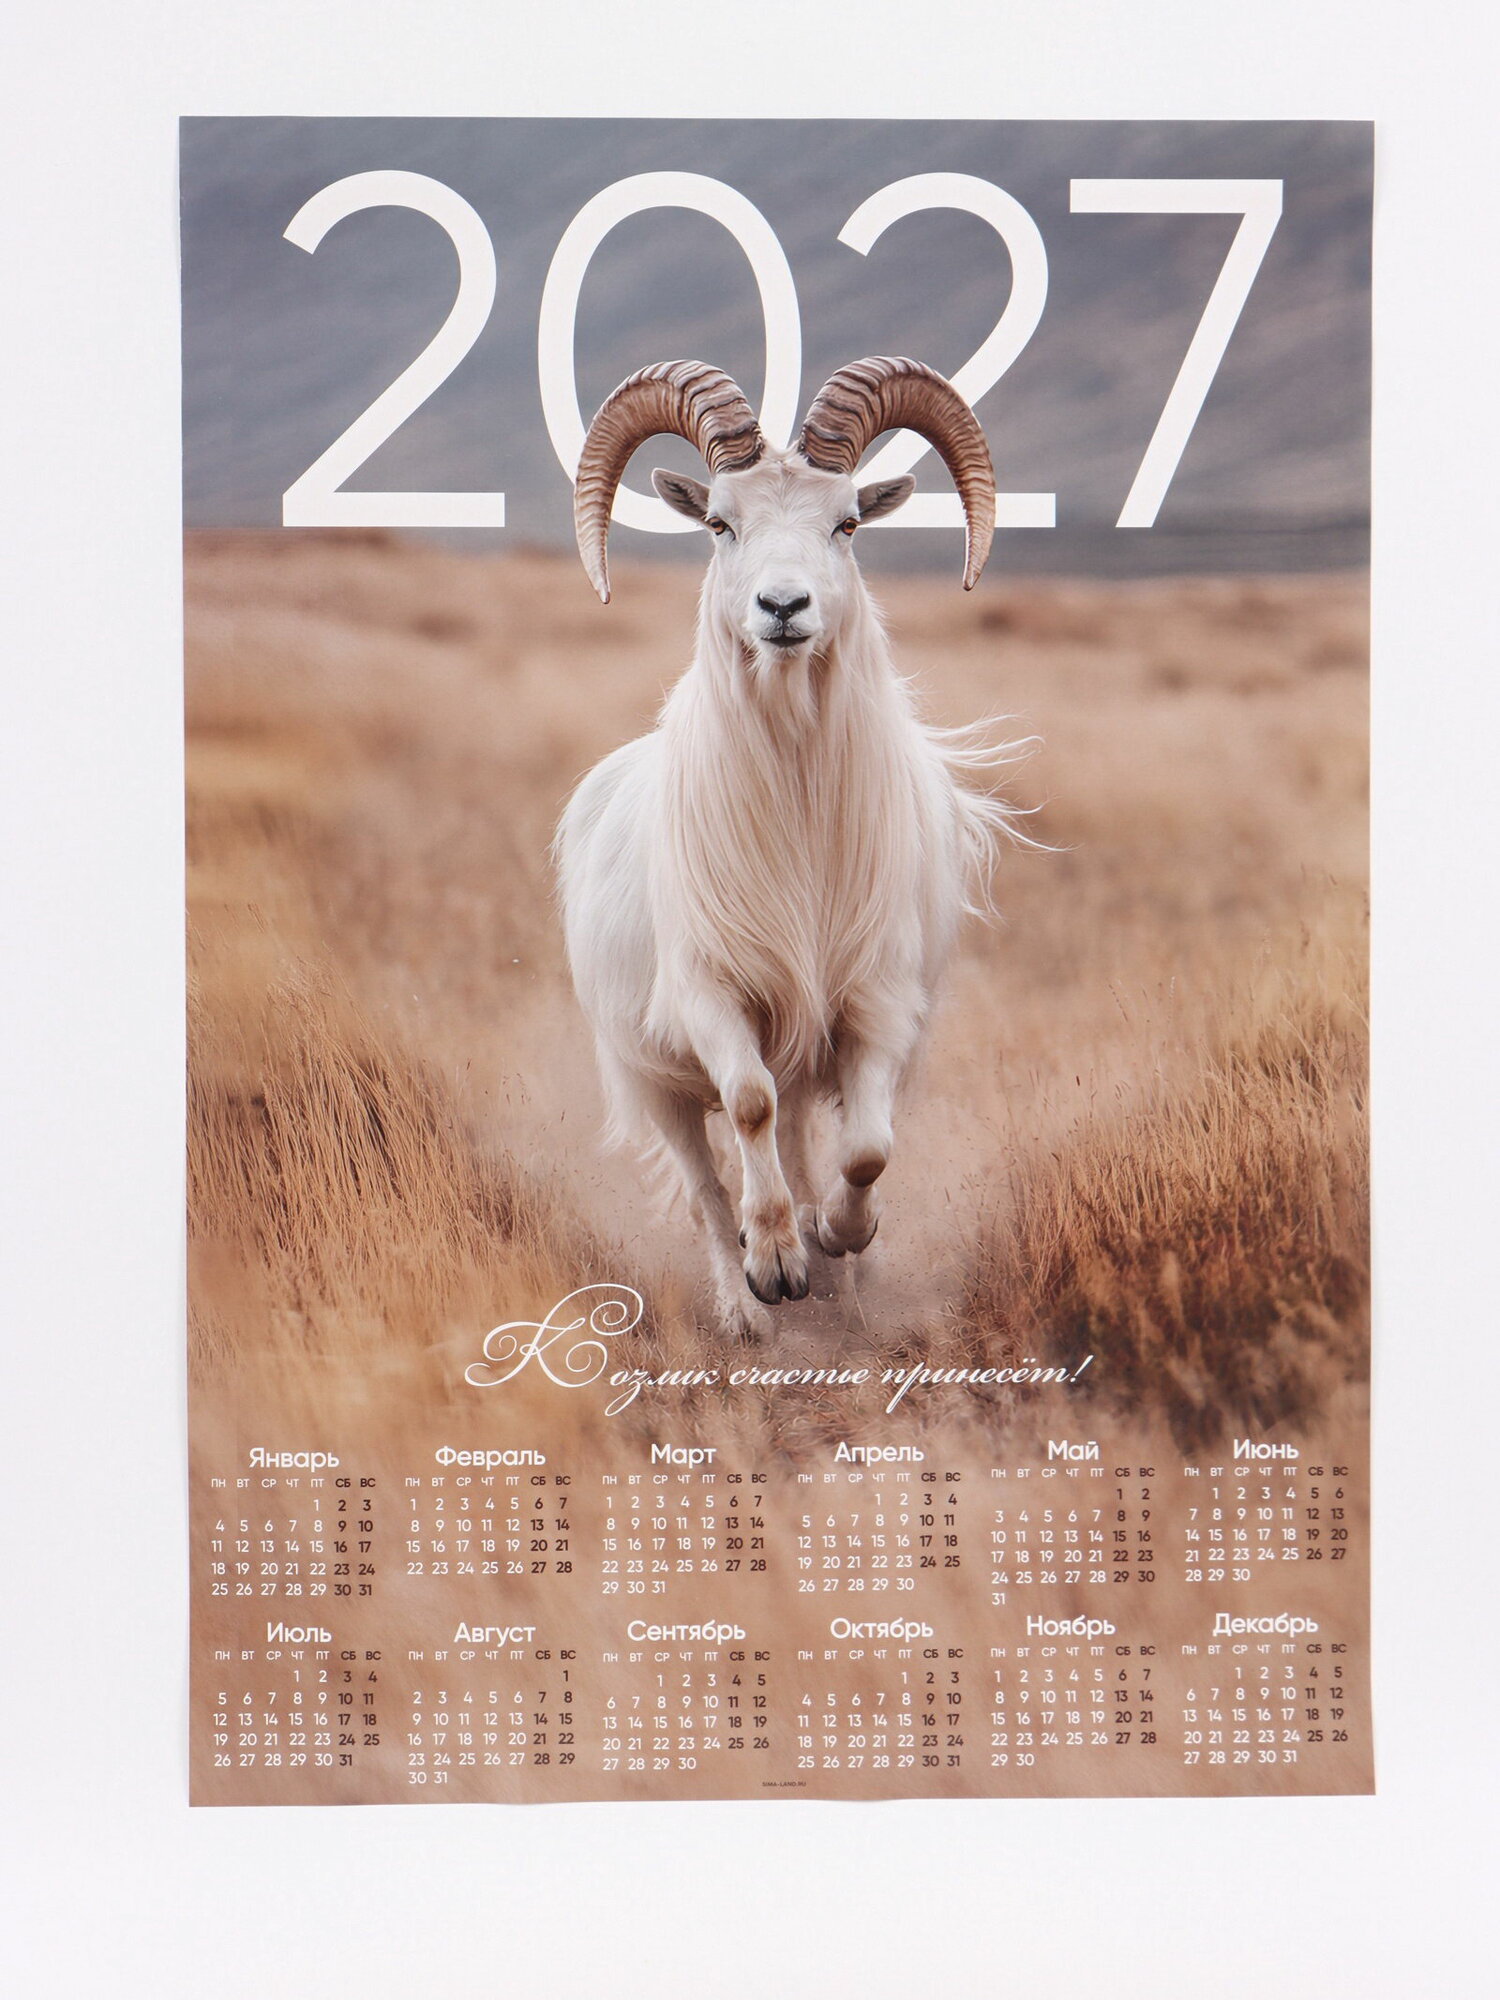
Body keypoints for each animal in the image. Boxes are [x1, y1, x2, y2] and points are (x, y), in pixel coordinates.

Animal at [556, 356, 1024, 1337]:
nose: (782, 607)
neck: (799, 807)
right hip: (654, 1084)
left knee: (811, 1137)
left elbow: (869, 1148)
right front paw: (772, 1259)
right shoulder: (714, 997)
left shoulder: (874, 1006)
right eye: (719, 524)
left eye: (845, 523)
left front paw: (840, 1235)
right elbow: (748, 1105)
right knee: (706, 1184)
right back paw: (746, 1312)